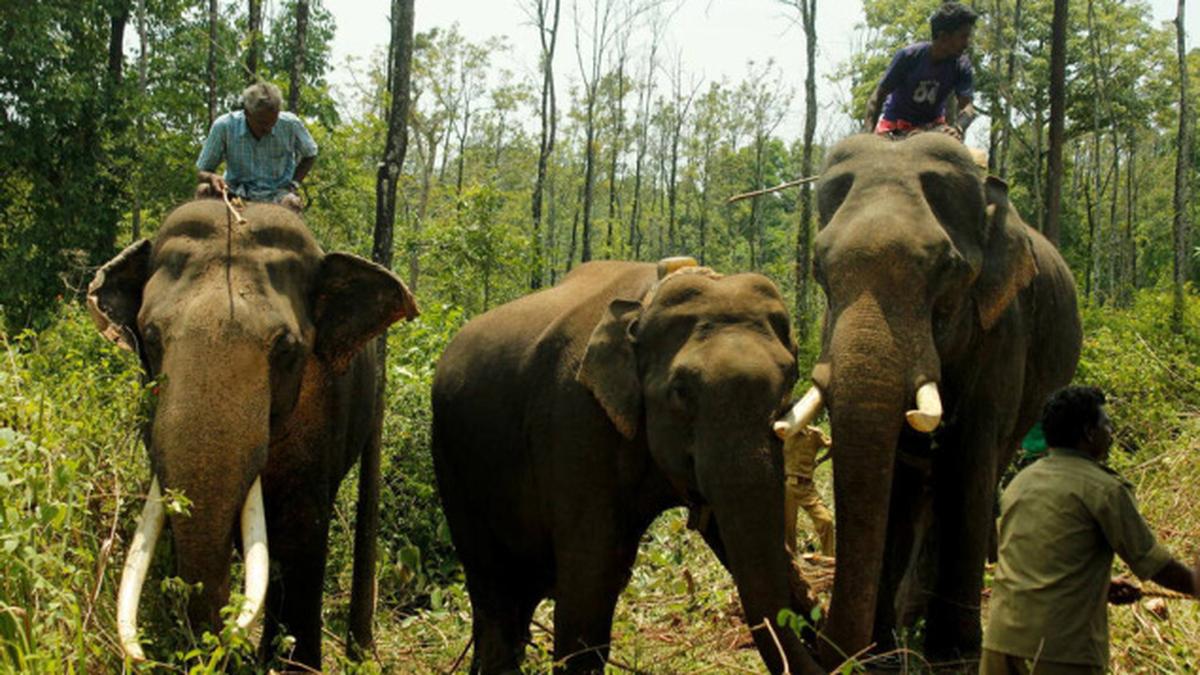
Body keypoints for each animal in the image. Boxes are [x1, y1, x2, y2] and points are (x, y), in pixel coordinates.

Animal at [87, 200, 417, 668]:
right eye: (149, 336)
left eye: (287, 348)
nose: (204, 651)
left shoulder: (324, 411)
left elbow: (299, 532)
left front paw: (291, 667)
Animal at [431, 258, 826, 674]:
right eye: (681, 391)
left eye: (790, 380)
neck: (648, 301)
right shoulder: (574, 420)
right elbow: (590, 574)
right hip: (450, 460)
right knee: (493, 590)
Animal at [779, 133, 1081, 666]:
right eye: (818, 270)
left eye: (947, 268)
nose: (825, 646)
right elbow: (897, 469)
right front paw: (881, 654)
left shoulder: (1003, 330)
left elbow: (970, 461)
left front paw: (953, 655)